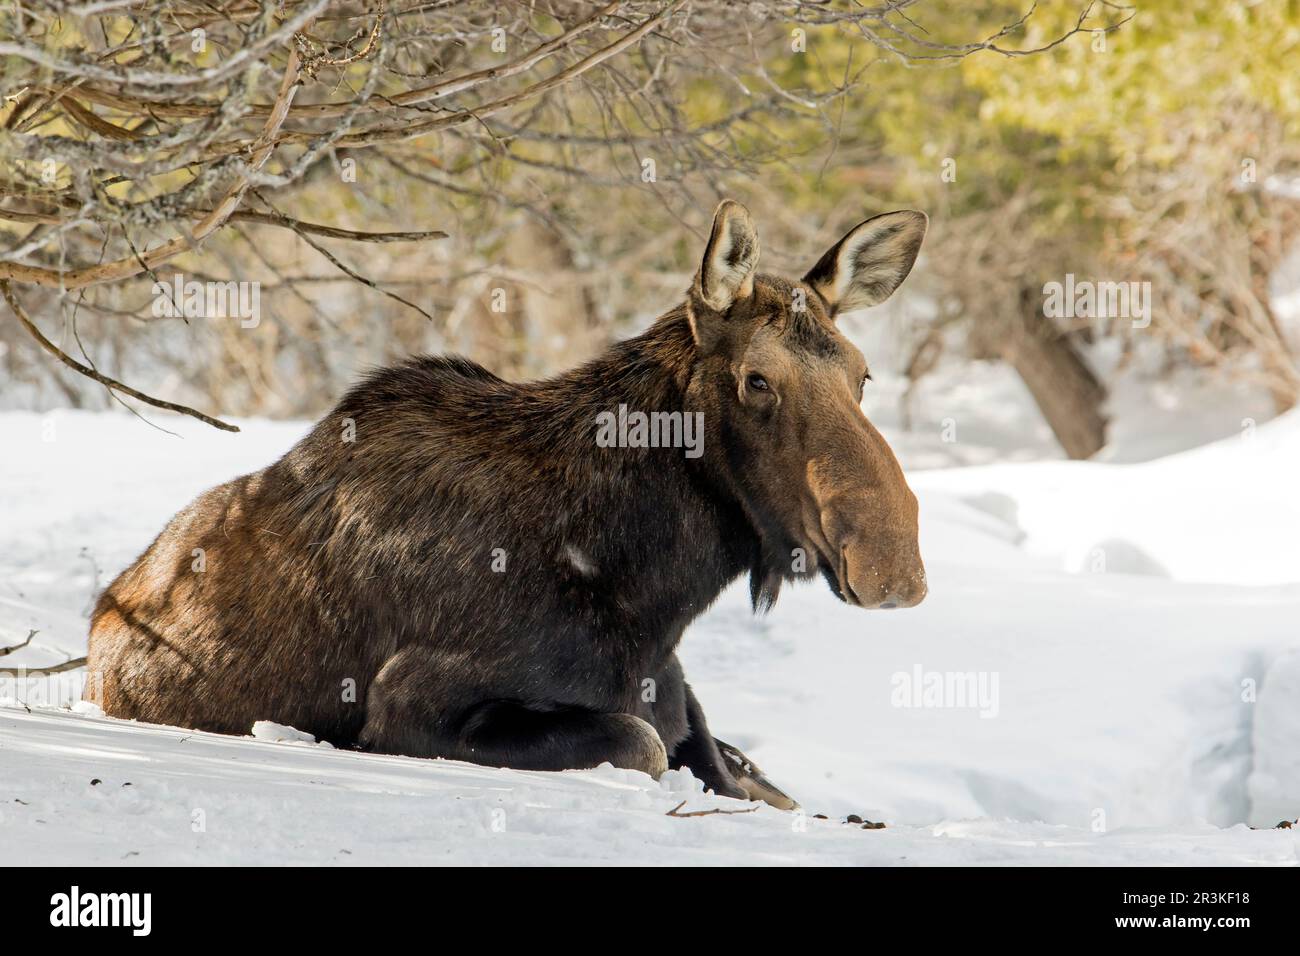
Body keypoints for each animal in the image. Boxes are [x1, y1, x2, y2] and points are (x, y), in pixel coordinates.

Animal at [86, 200, 929, 809]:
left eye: (862, 375)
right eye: (758, 379)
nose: (893, 565)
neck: (652, 592)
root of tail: (107, 608)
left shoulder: (688, 713)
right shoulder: (409, 704)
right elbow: (642, 745)